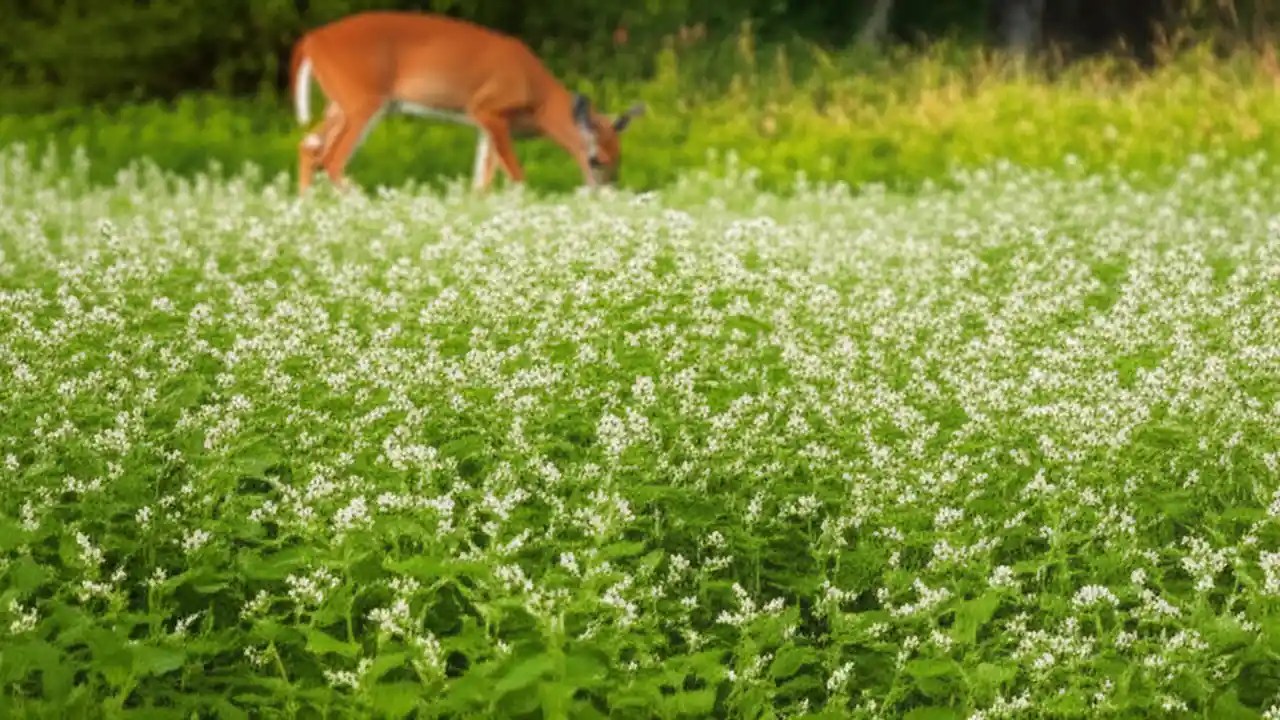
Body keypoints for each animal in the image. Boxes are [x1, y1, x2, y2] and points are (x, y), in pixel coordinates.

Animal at [288, 11, 646, 195]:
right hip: (362, 99)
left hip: (340, 102)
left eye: (619, 157)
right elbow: (515, 174)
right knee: (332, 158)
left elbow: (482, 179)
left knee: (309, 145)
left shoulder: (488, 124)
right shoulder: (489, 108)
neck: (540, 102)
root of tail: (311, 40)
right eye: (596, 159)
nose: (607, 192)